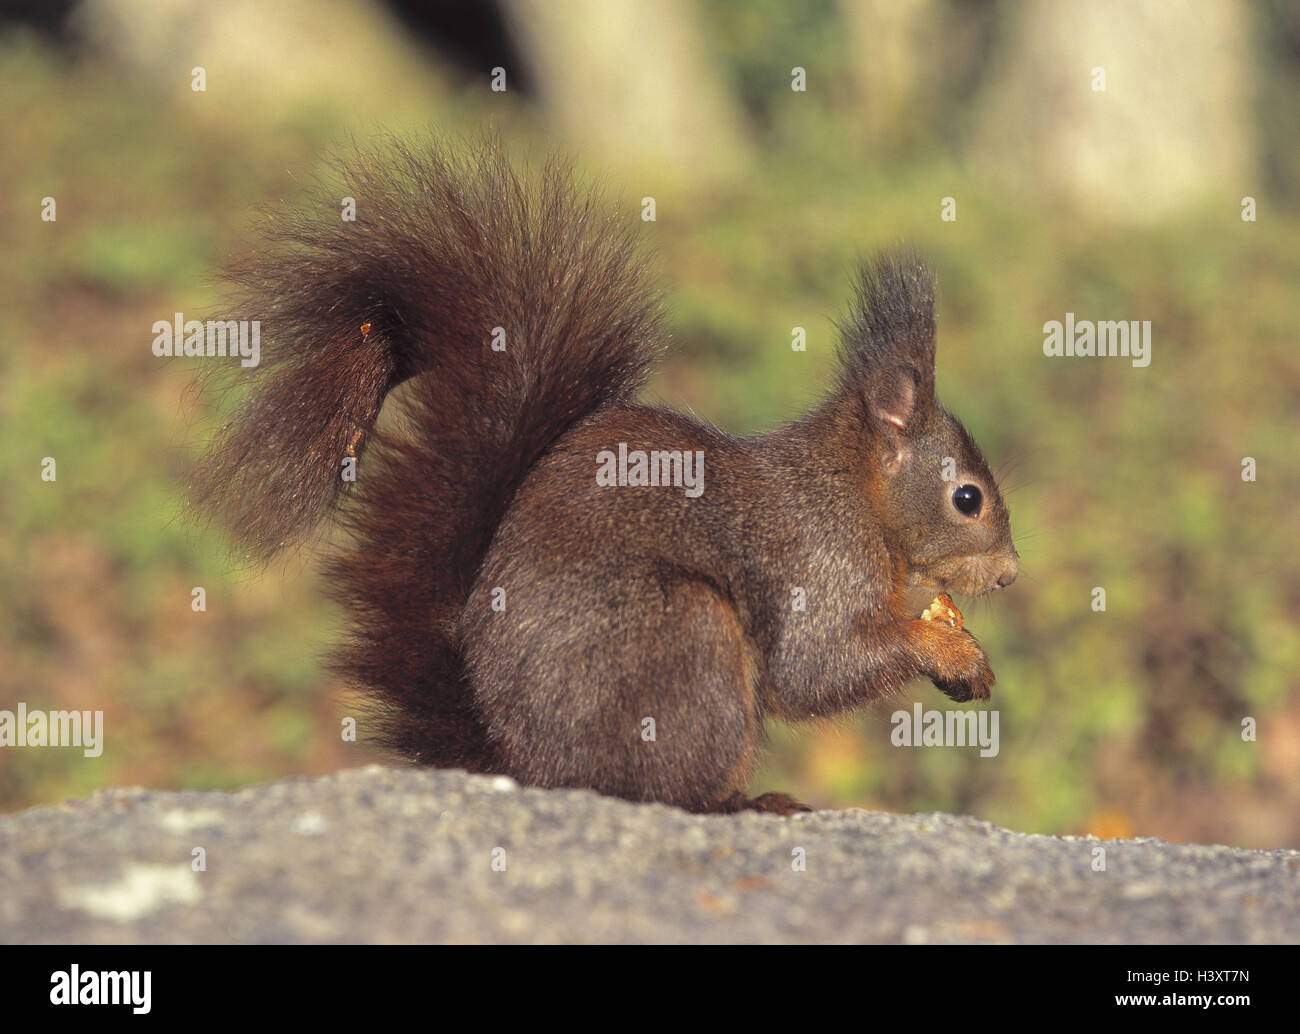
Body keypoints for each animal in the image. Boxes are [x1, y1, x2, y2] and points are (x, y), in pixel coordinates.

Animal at [193, 137, 1018, 816]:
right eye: (967, 499)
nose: (1011, 575)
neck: (853, 493)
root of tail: (527, 766)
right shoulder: (816, 562)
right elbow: (816, 666)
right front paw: (950, 651)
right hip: (686, 640)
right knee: (666, 790)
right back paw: (746, 804)